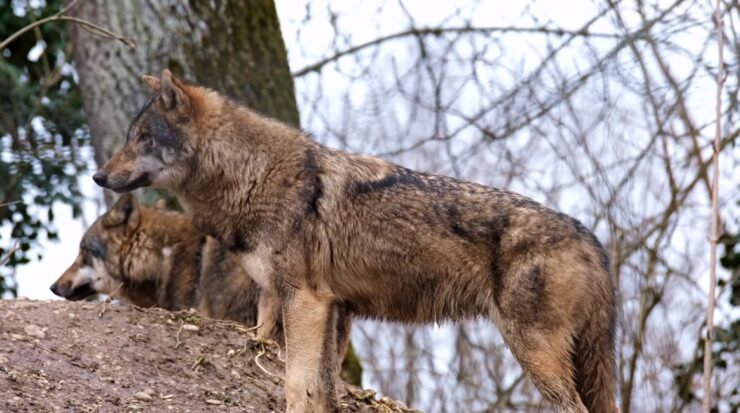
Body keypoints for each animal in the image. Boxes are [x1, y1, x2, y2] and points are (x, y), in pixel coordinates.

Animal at [93, 70, 618, 413]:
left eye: (144, 138)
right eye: (130, 136)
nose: (98, 176)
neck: (252, 176)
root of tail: (593, 240)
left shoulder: (305, 303)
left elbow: (296, 386)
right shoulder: (332, 310)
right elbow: (322, 392)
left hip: (534, 352)